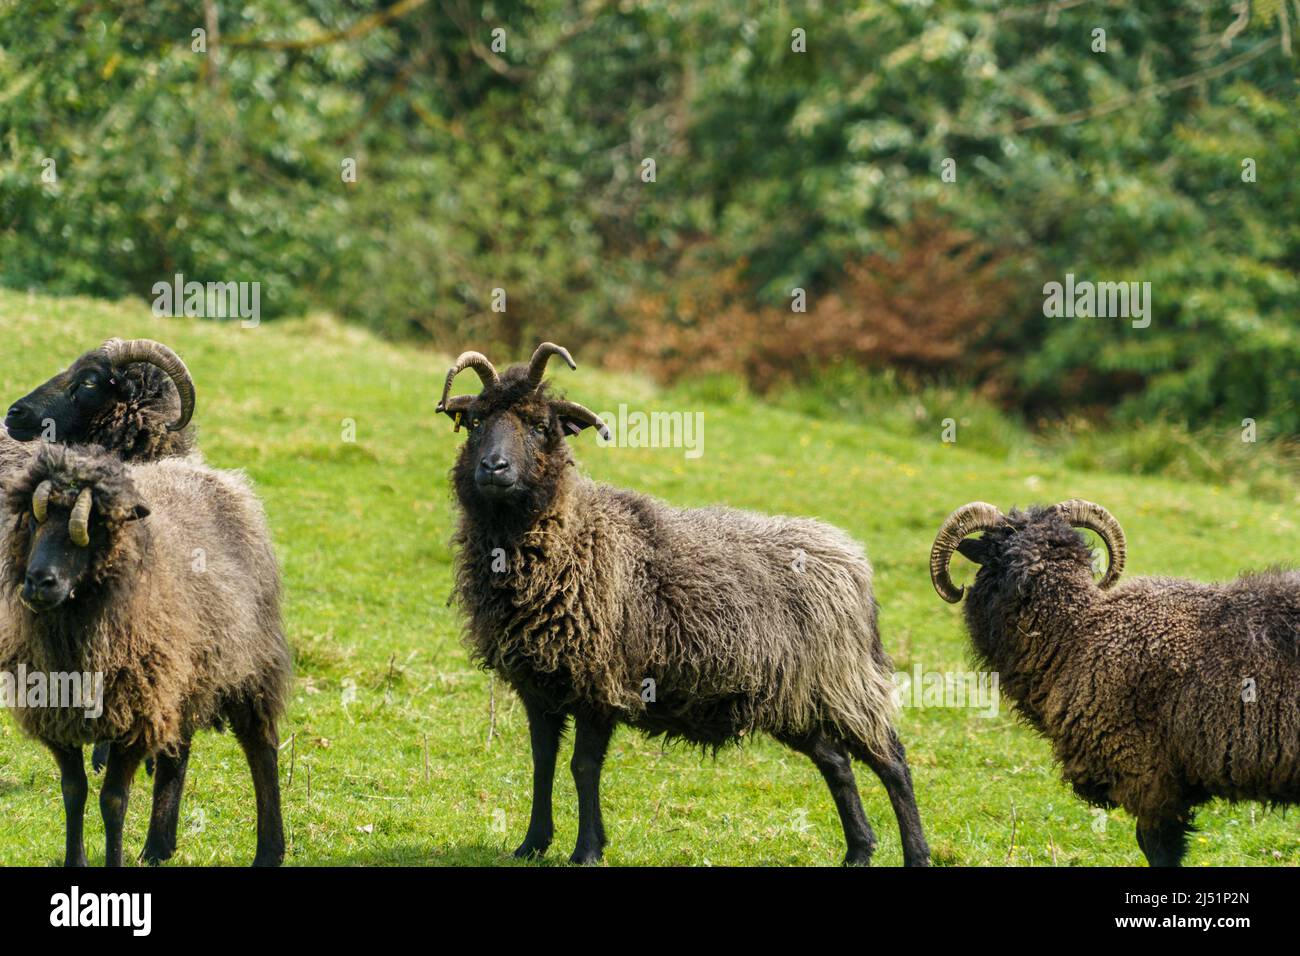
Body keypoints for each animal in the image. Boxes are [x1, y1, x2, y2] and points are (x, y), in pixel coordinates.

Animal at [0, 443, 290, 866]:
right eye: (35, 522)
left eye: (94, 528)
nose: (38, 582)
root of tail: (213, 475)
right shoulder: (58, 715)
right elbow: (73, 791)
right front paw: (75, 859)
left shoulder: (136, 713)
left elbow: (113, 800)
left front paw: (113, 858)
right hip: (182, 675)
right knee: (177, 754)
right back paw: (158, 845)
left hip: (250, 663)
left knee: (261, 749)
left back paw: (269, 850)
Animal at [438, 343, 929, 866]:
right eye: (475, 421)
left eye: (539, 425)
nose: (493, 469)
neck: (573, 536)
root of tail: (851, 556)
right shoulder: (539, 686)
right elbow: (542, 763)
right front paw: (532, 844)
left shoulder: (599, 682)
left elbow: (583, 767)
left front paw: (587, 850)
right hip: (795, 695)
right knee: (836, 762)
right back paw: (858, 850)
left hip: (844, 681)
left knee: (892, 762)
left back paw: (916, 853)